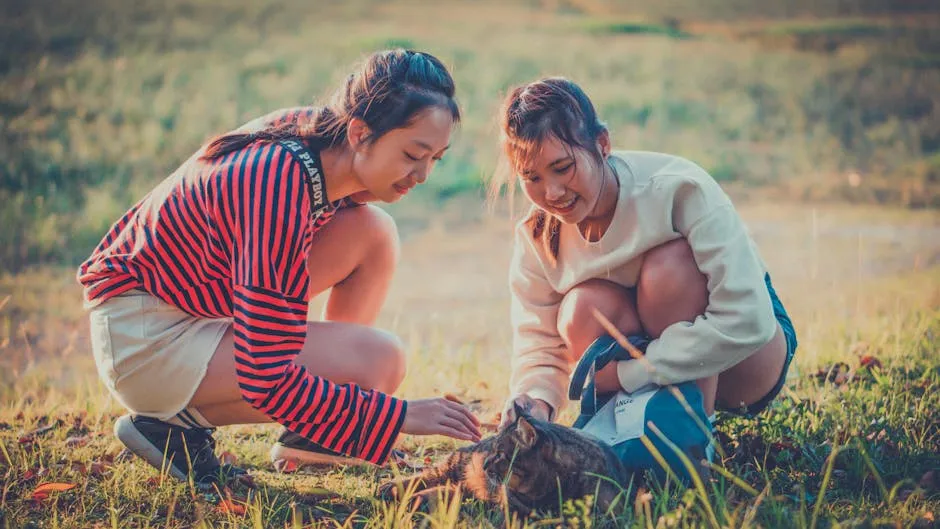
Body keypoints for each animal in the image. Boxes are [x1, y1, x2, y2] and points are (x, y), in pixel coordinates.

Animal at [378, 402, 636, 512]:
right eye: (493, 450)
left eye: (500, 454)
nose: (484, 463)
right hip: (456, 464)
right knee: (431, 475)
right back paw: (394, 488)